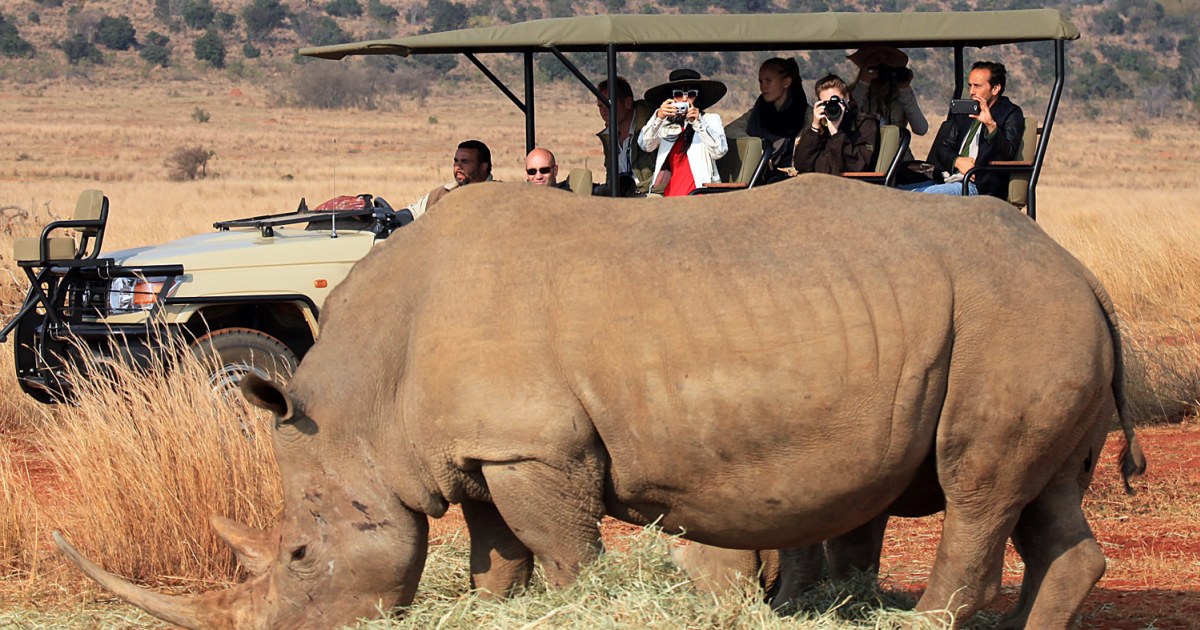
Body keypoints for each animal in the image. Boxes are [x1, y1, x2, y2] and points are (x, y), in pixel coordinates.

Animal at [55, 176, 1144, 629]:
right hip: (1037, 321)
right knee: (1043, 499)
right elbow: (496, 559)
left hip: (1016, 319)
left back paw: (925, 627)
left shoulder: (535, 449)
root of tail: (1083, 270)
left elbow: (565, 552)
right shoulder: (480, 450)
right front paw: (493, 612)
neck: (361, 398)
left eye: (294, 556)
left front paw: (580, 607)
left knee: (976, 490)